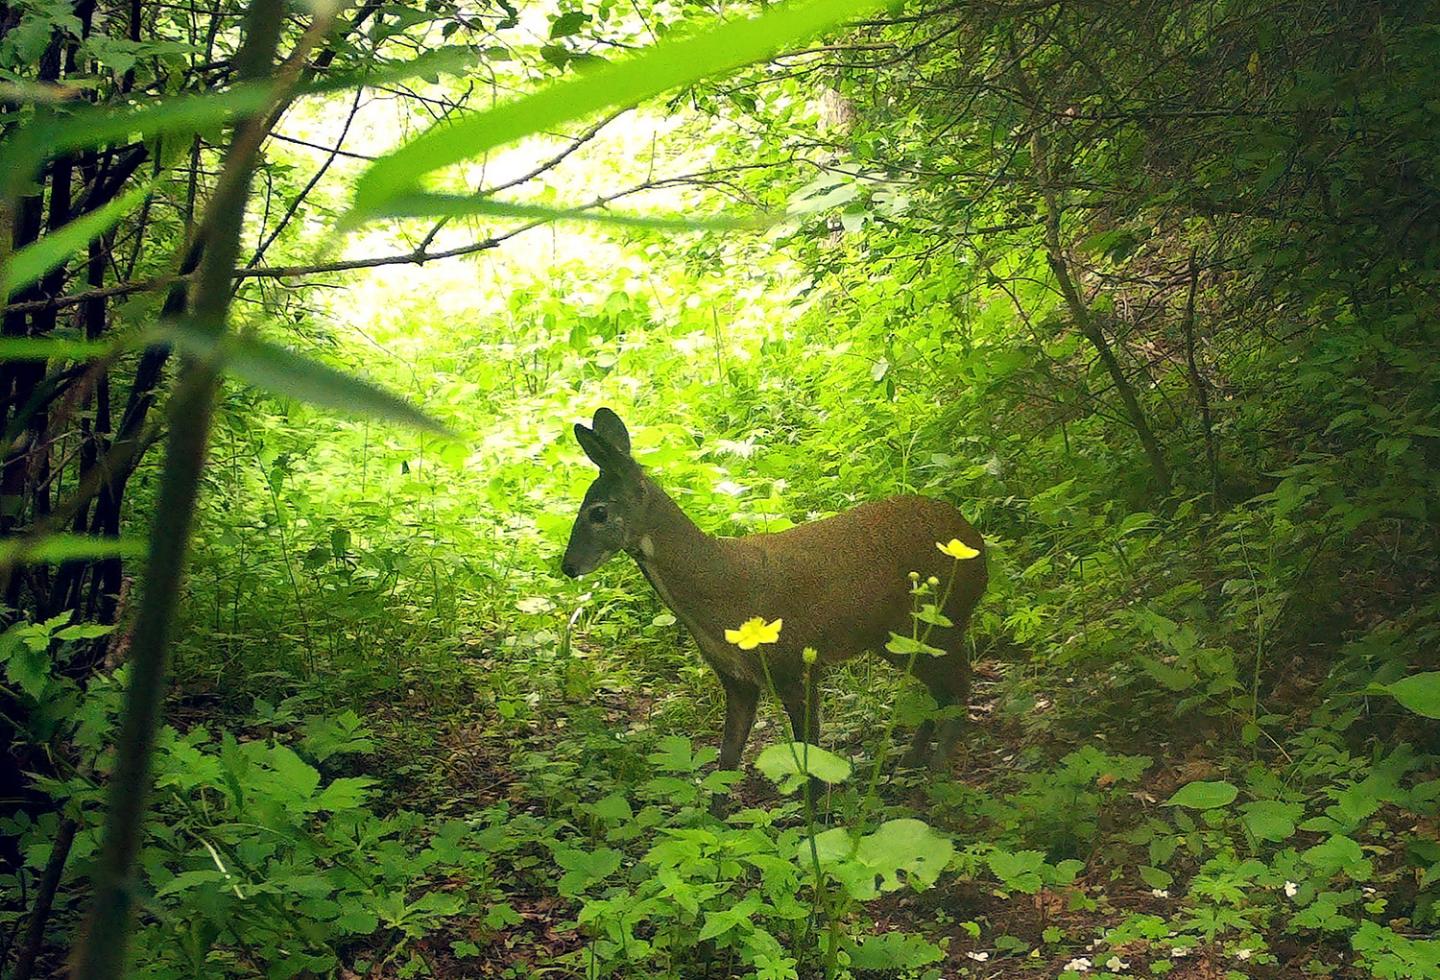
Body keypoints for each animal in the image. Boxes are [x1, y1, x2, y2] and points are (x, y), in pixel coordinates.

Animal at [560, 408, 987, 789]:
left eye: (598, 513)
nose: (568, 565)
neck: (719, 595)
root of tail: (976, 541)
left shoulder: (793, 662)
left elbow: (809, 756)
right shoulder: (736, 679)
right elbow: (727, 762)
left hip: (940, 620)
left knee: (959, 684)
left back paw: (937, 769)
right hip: (897, 638)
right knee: (940, 691)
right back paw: (911, 759)